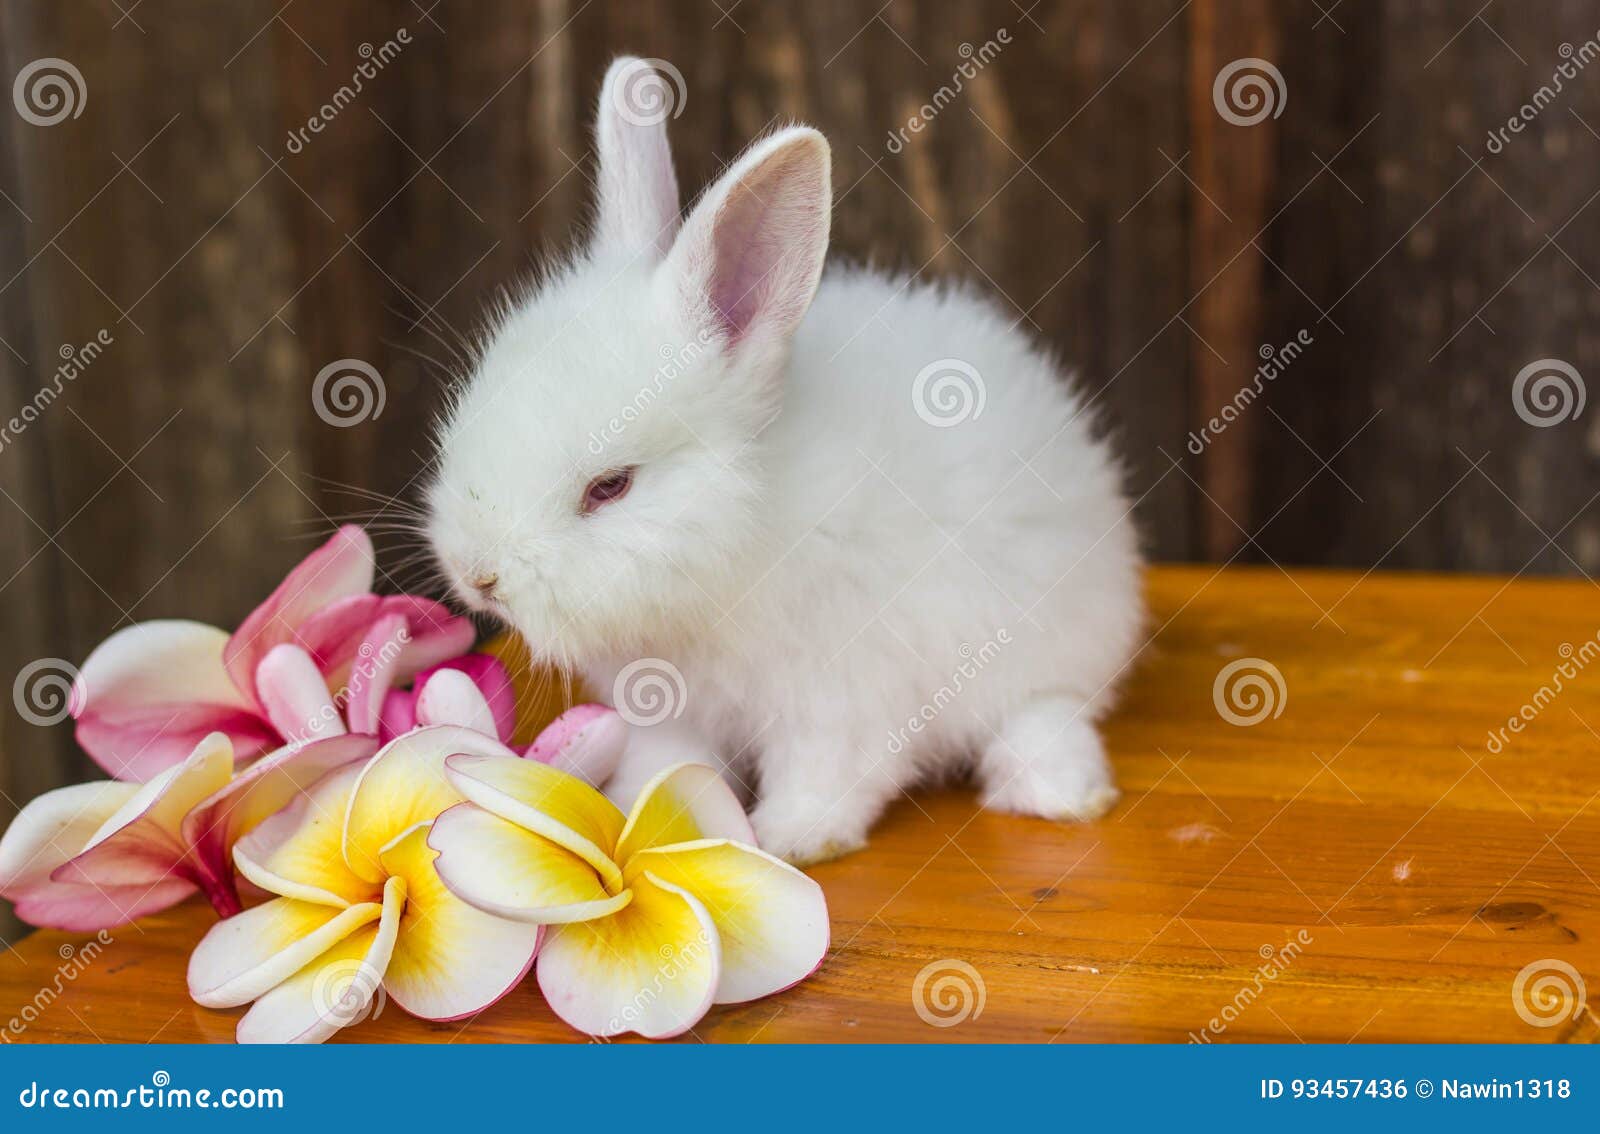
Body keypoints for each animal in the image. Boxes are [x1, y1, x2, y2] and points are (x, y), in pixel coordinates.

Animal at [426, 56, 1145, 865]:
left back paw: (1059, 793)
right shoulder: (666, 707)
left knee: (1046, 708)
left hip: (1046, 641)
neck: (741, 533)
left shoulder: (841, 694)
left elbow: (826, 767)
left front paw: (796, 838)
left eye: (610, 486)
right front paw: (653, 811)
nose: (477, 577)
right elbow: (672, 763)